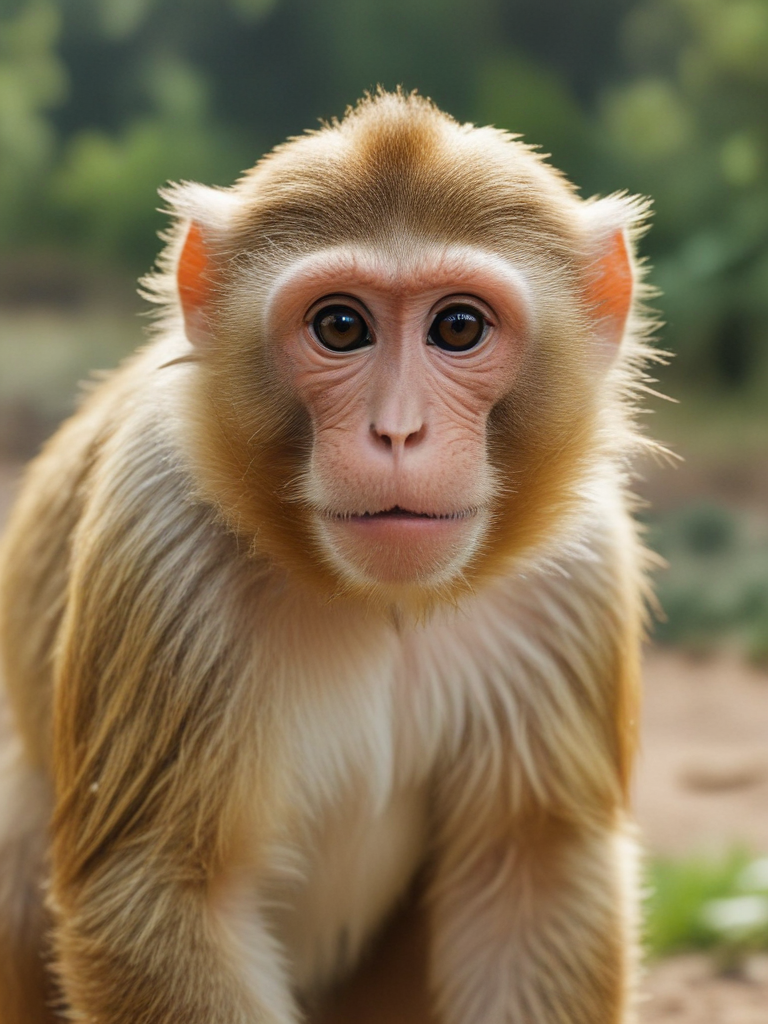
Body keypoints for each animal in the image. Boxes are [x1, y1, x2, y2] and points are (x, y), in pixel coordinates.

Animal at [0, 89, 659, 1024]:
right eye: (341, 326)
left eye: (459, 326)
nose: (398, 431)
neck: (378, 601)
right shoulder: (160, 529)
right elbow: (156, 891)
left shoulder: (575, 574)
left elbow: (530, 872)